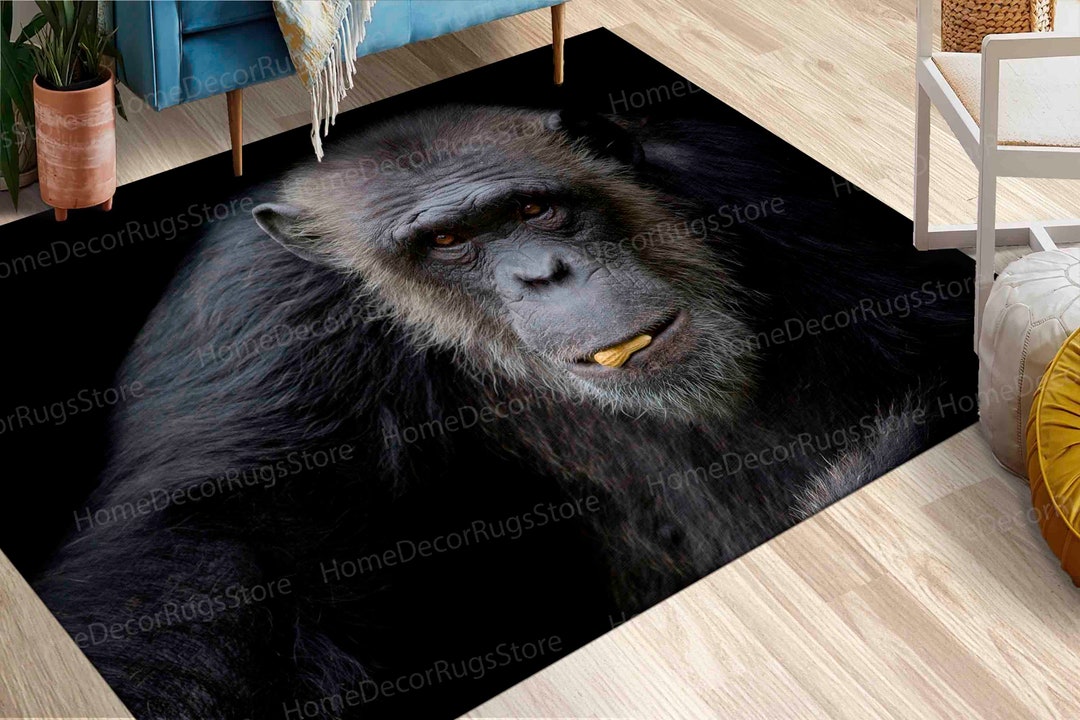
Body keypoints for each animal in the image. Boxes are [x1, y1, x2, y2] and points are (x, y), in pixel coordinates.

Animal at [32, 105, 975, 719]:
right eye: (448, 241)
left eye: (533, 207)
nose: (543, 272)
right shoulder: (258, 315)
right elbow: (208, 544)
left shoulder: (754, 184)